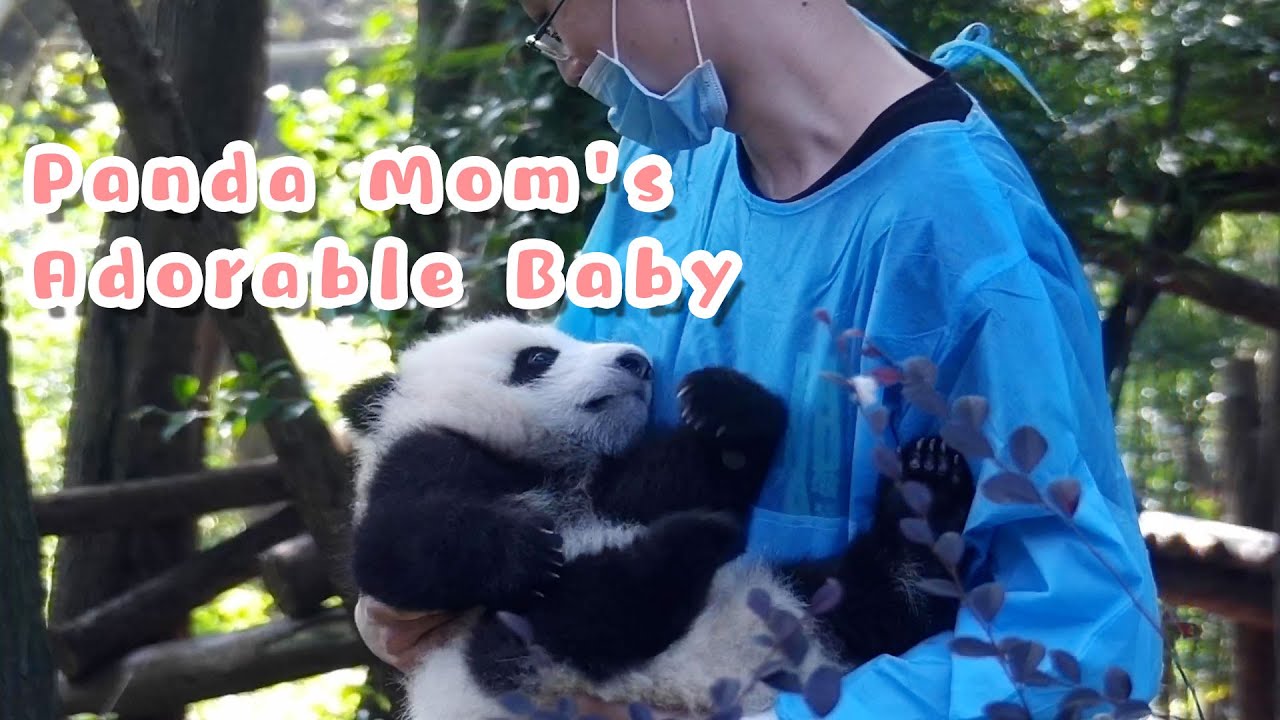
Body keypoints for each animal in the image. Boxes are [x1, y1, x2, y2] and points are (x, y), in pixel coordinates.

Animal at [338, 316, 976, 719]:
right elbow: (394, 548)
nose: (636, 361)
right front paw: (527, 545)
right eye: (538, 357)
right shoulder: (422, 458)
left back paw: (930, 488)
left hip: (808, 598)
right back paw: (694, 542)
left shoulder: (615, 489)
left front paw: (730, 407)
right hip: (507, 666)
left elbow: (682, 475)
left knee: (882, 594)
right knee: (576, 618)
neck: (550, 464)